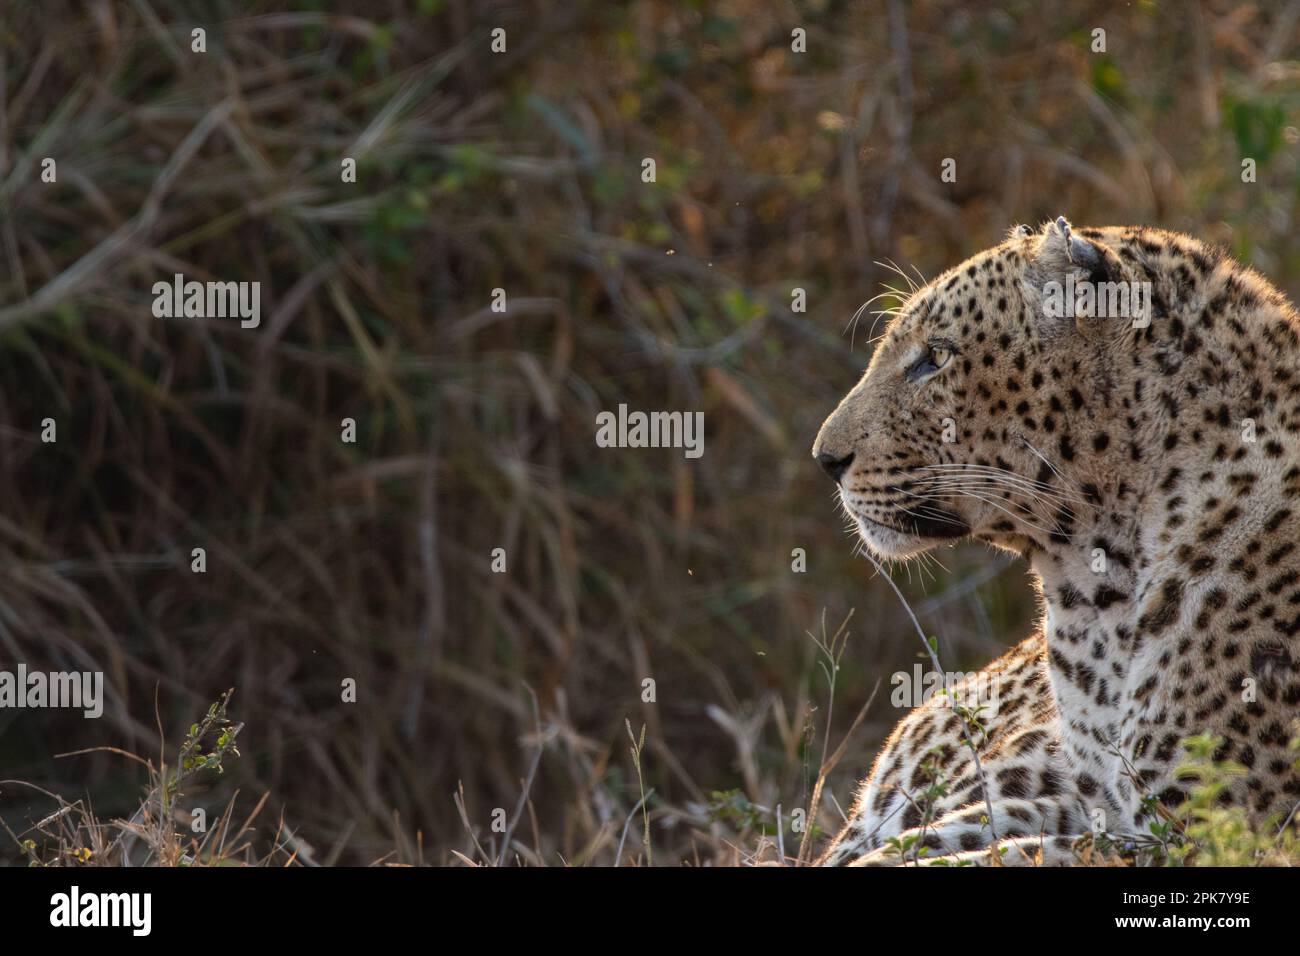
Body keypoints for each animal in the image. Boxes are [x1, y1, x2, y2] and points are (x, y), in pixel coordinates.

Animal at [811, 218, 1300, 866]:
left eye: (936, 357)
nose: (825, 460)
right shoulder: (1094, 807)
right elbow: (962, 835)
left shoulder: (1202, 832)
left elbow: (1006, 850)